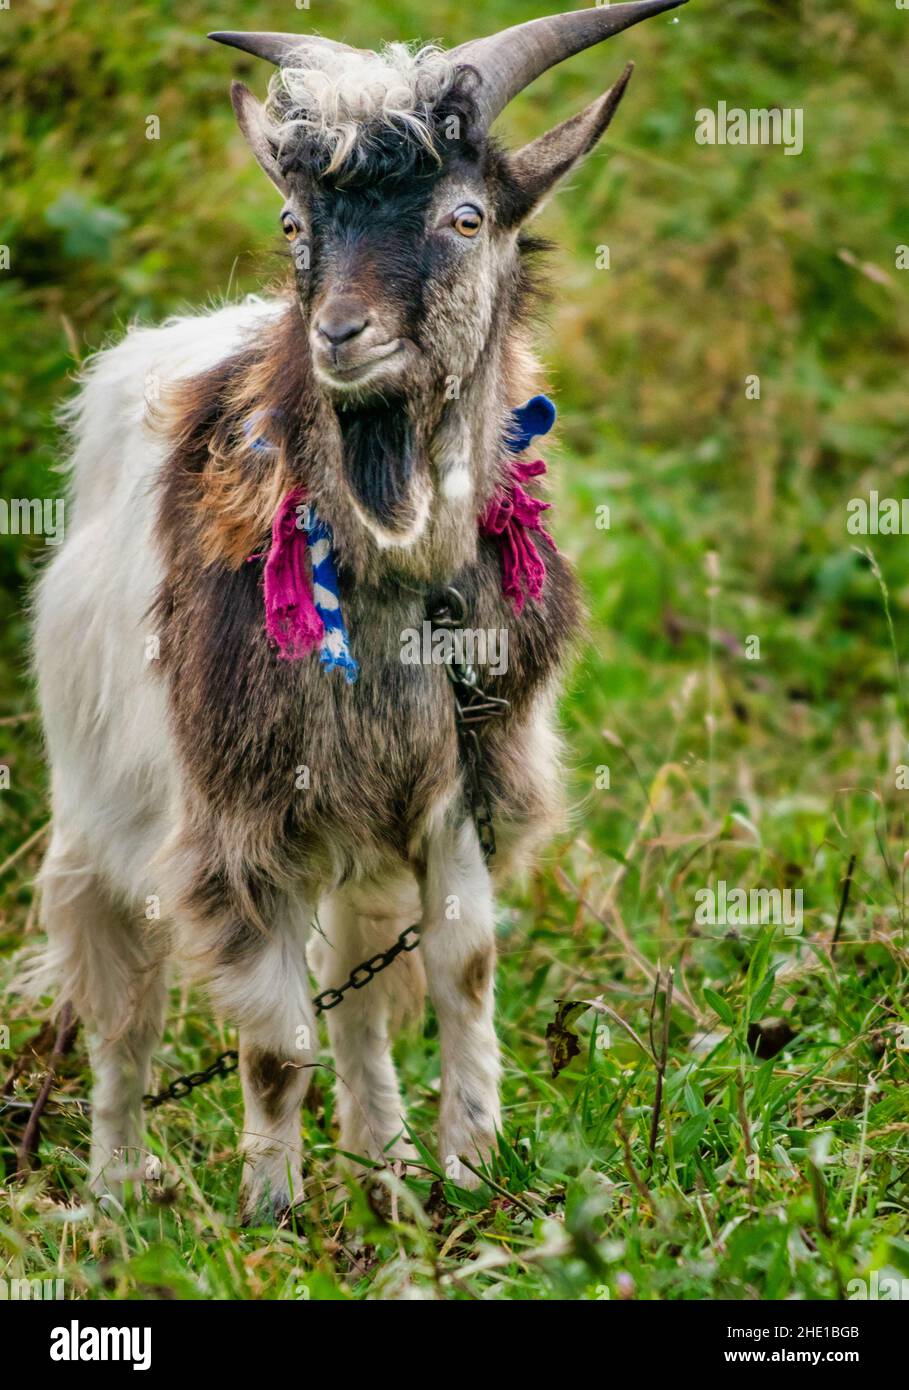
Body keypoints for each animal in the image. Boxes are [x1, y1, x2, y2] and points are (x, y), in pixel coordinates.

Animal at [27, 2, 685, 1223]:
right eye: (296, 220)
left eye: (465, 216)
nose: (340, 335)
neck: (396, 578)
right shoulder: (242, 822)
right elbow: (274, 1044)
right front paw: (270, 1213)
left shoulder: (455, 785)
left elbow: (459, 968)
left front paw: (471, 1167)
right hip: (101, 806)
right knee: (121, 1008)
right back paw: (117, 1186)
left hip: (358, 832)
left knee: (359, 987)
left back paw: (382, 1161)